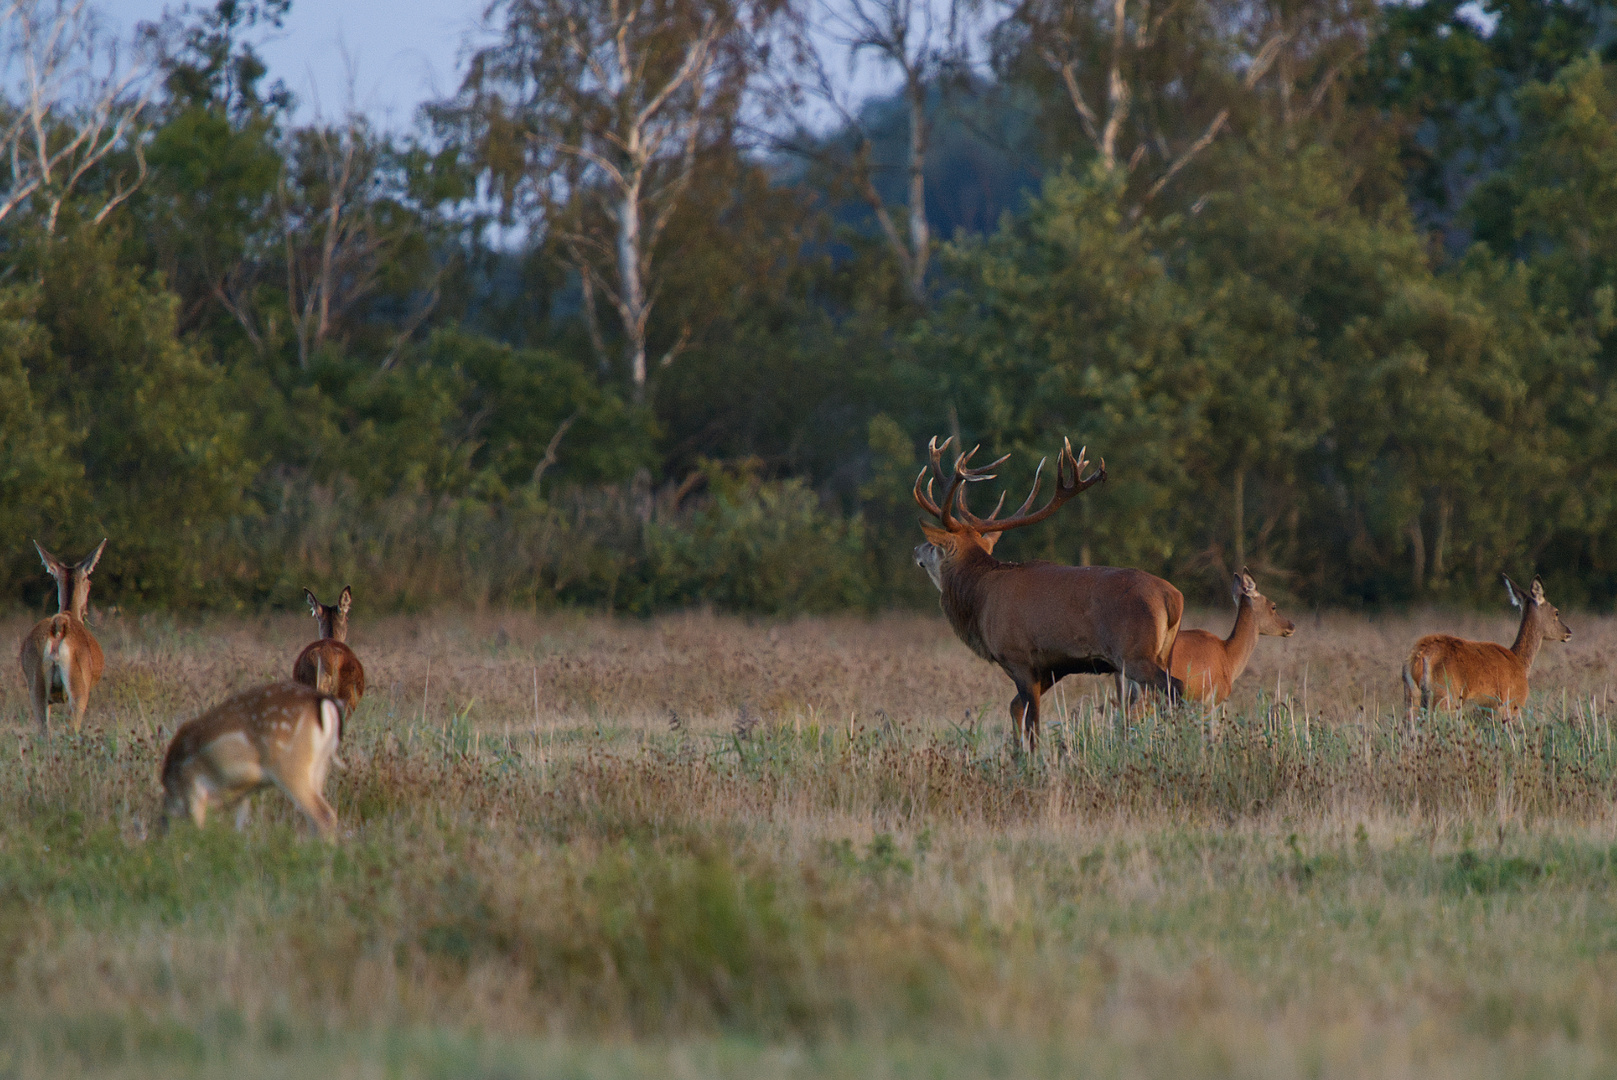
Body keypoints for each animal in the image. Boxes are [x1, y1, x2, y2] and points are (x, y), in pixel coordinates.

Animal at [18, 540, 107, 734]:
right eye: (89, 581)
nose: (85, 610)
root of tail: (58, 627)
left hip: (35, 684)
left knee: (44, 731)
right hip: (78, 687)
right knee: (72, 729)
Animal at [160, 679, 347, 840]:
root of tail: (325, 702)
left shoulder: (193, 788)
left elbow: (198, 831)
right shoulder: (242, 795)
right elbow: (239, 827)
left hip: (290, 766)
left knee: (323, 815)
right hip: (319, 766)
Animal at [911, 436, 1190, 750]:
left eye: (933, 546)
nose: (916, 550)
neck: (979, 602)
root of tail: (1173, 598)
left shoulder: (1019, 656)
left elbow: (1032, 722)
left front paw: (1032, 757)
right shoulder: (1051, 667)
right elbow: (1015, 709)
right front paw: (1016, 755)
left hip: (1134, 653)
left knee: (1176, 687)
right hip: (1163, 651)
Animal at [1403, 572, 1565, 724]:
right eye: (1556, 612)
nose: (1568, 631)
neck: (1520, 662)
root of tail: (1421, 655)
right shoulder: (1513, 702)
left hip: (1412, 694)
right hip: (1446, 694)